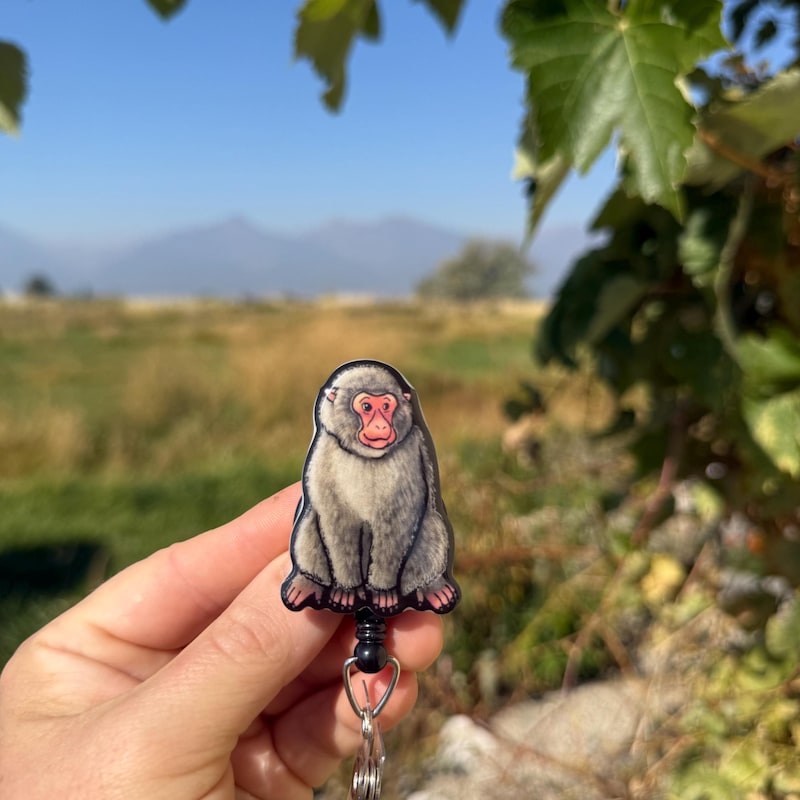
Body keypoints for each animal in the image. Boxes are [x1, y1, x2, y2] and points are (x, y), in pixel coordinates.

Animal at [281, 360, 460, 617]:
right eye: (366, 406)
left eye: (386, 406)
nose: (381, 426)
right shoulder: (324, 453)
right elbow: (337, 522)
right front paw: (346, 590)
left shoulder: (410, 450)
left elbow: (396, 523)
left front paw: (383, 593)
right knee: (308, 523)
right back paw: (307, 583)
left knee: (433, 524)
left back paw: (432, 588)